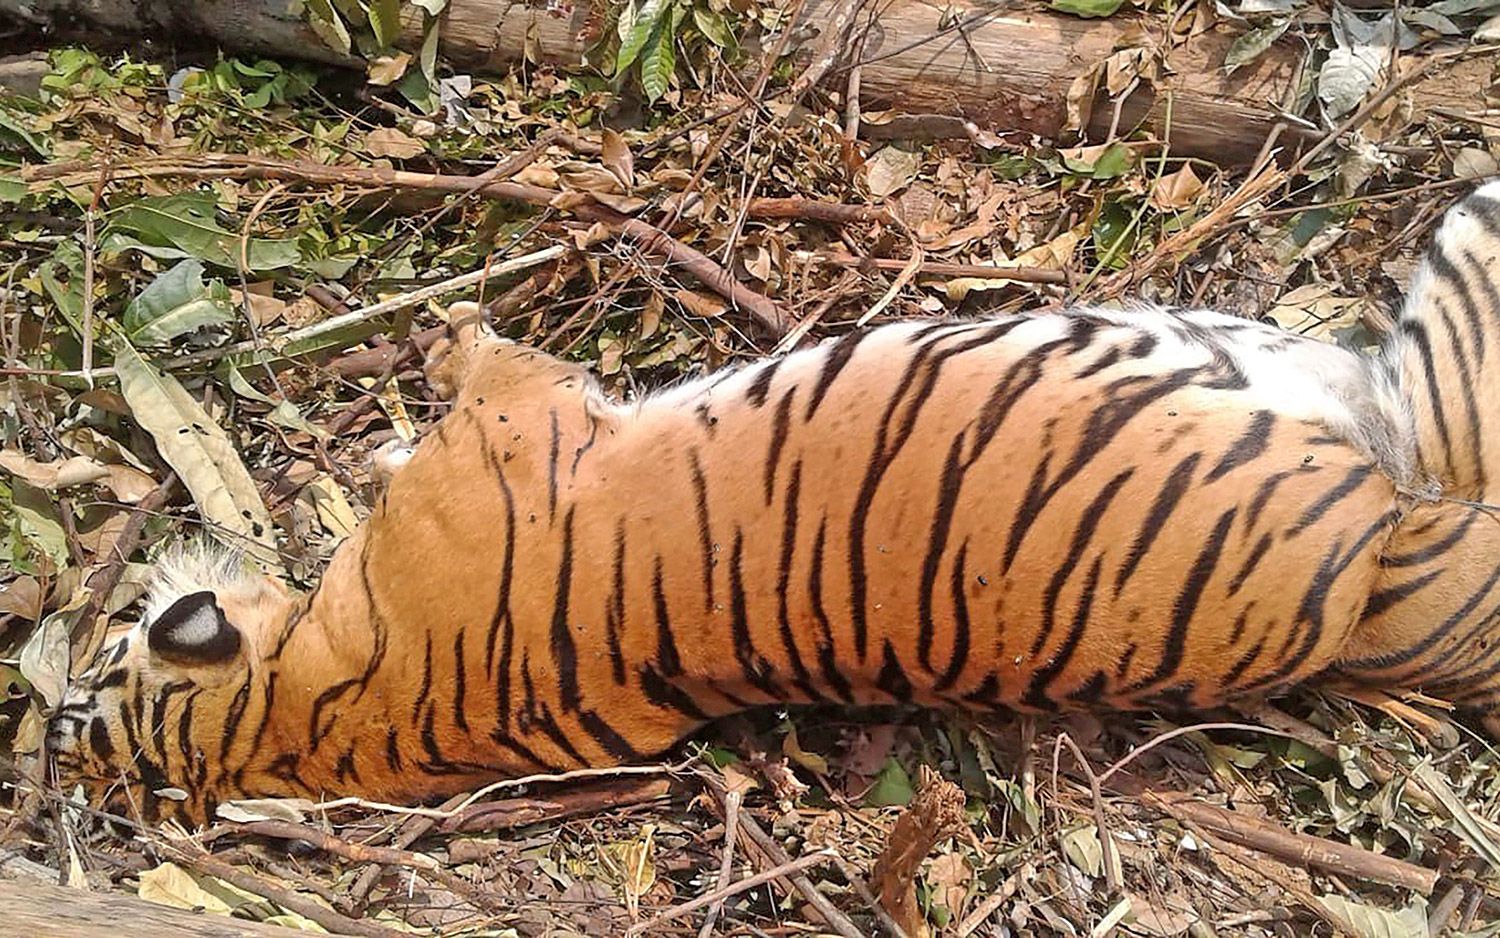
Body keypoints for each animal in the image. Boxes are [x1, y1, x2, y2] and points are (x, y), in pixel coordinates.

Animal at [42, 181, 1500, 824]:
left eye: (93, 675)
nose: (48, 719)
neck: (315, 710)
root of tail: (1375, 591)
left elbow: (464, 375)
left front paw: (419, 371)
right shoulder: (525, 420)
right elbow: (487, 369)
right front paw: (439, 356)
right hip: (1389, 404)